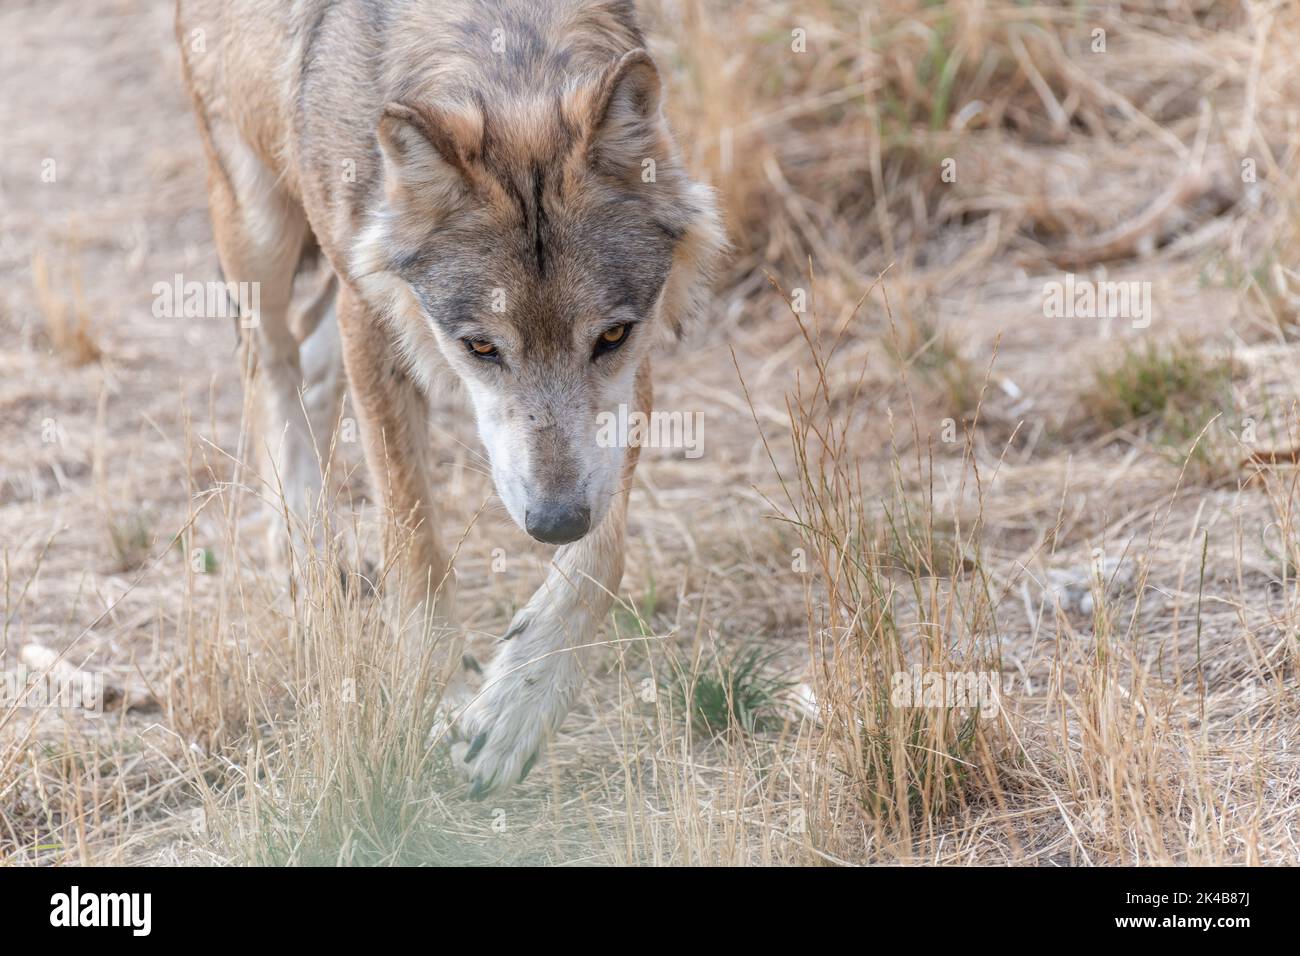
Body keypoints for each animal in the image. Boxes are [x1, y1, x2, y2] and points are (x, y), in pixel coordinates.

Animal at [176, 0, 725, 796]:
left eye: (611, 337)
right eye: (481, 348)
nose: (553, 522)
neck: (508, 54)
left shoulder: (632, 369)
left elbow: (603, 556)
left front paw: (517, 708)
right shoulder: (372, 316)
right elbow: (415, 544)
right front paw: (434, 699)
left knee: (308, 362)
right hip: (258, 226)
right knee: (268, 367)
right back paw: (308, 557)